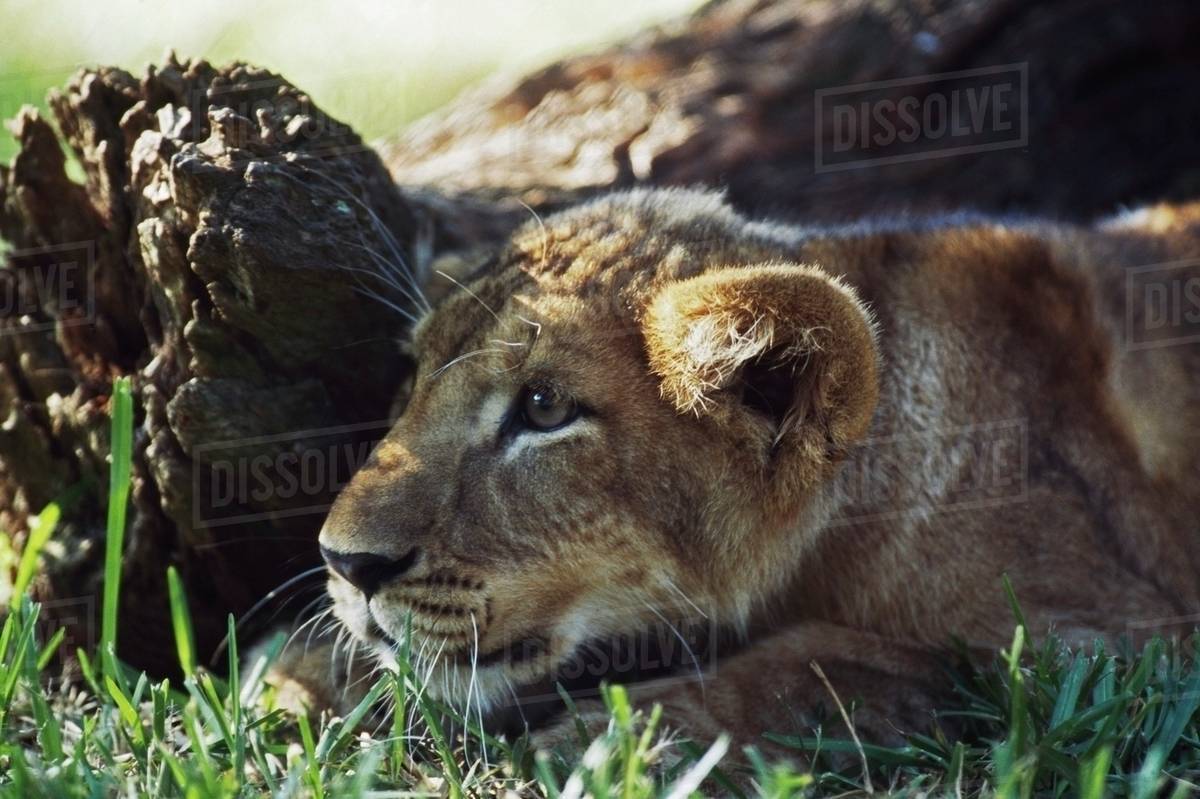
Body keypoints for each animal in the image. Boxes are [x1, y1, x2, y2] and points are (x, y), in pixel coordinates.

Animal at [310, 188, 1200, 756]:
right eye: (412, 377)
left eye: (543, 406)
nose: (345, 563)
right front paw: (304, 676)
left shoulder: (1116, 645)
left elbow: (820, 665)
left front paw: (601, 743)